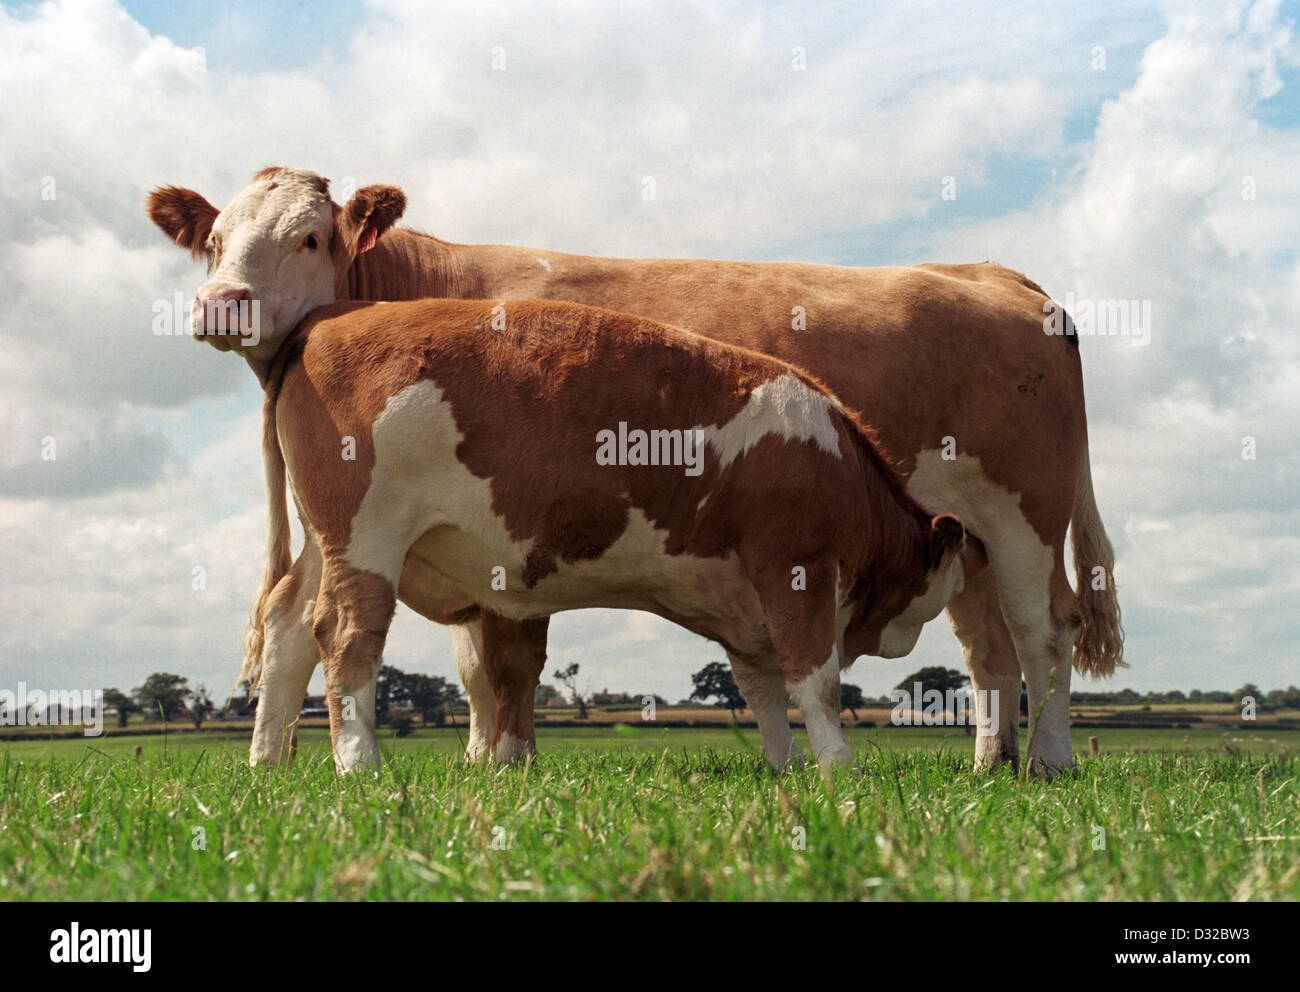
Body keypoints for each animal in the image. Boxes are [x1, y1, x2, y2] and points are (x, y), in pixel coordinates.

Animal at [249, 296, 977, 771]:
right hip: (366, 536)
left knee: (288, 631)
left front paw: (787, 766)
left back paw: (268, 763)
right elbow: (814, 678)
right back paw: (358, 764)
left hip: (325, 543)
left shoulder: (743, 604)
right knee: (345, 634)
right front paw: (839, 768)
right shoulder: (794, 564)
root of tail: (329, 317)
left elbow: (763, 688)